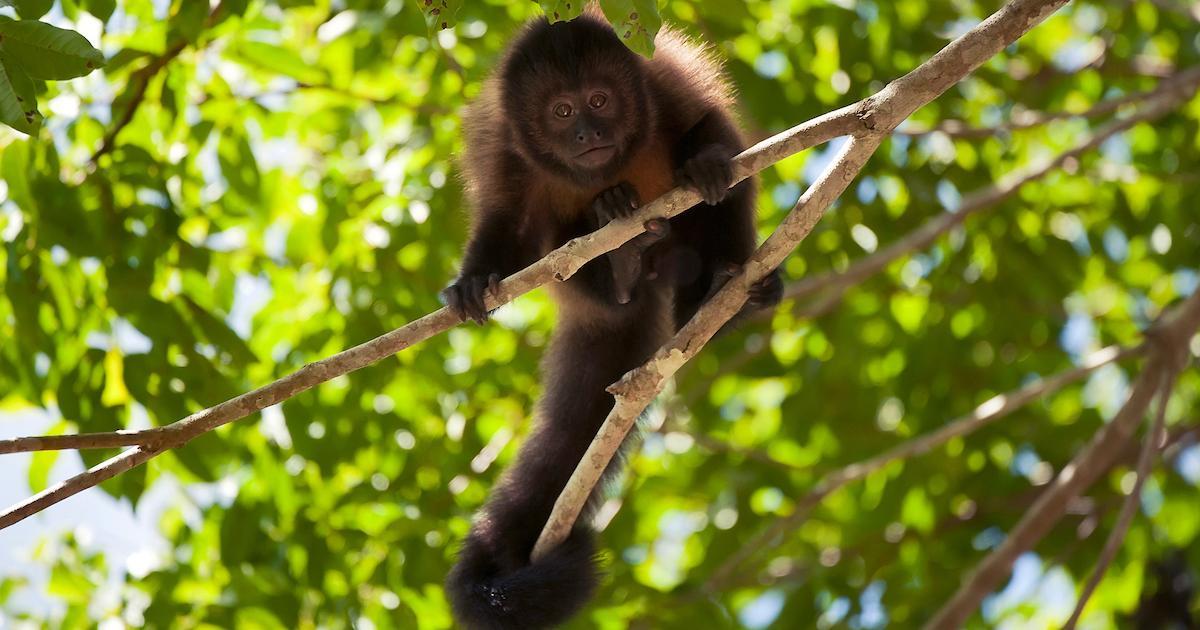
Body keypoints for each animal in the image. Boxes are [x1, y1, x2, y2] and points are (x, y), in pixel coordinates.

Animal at [441, 12, 782, 629]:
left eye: (599, 100)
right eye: (561, 112)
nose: (585, 133)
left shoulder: (662, 80)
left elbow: (709, 119)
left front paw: (706, 159)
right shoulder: (502, 146)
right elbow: (505, 223)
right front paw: (473, 279)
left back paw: (723, 297)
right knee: (562, 249)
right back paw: (617, 270)